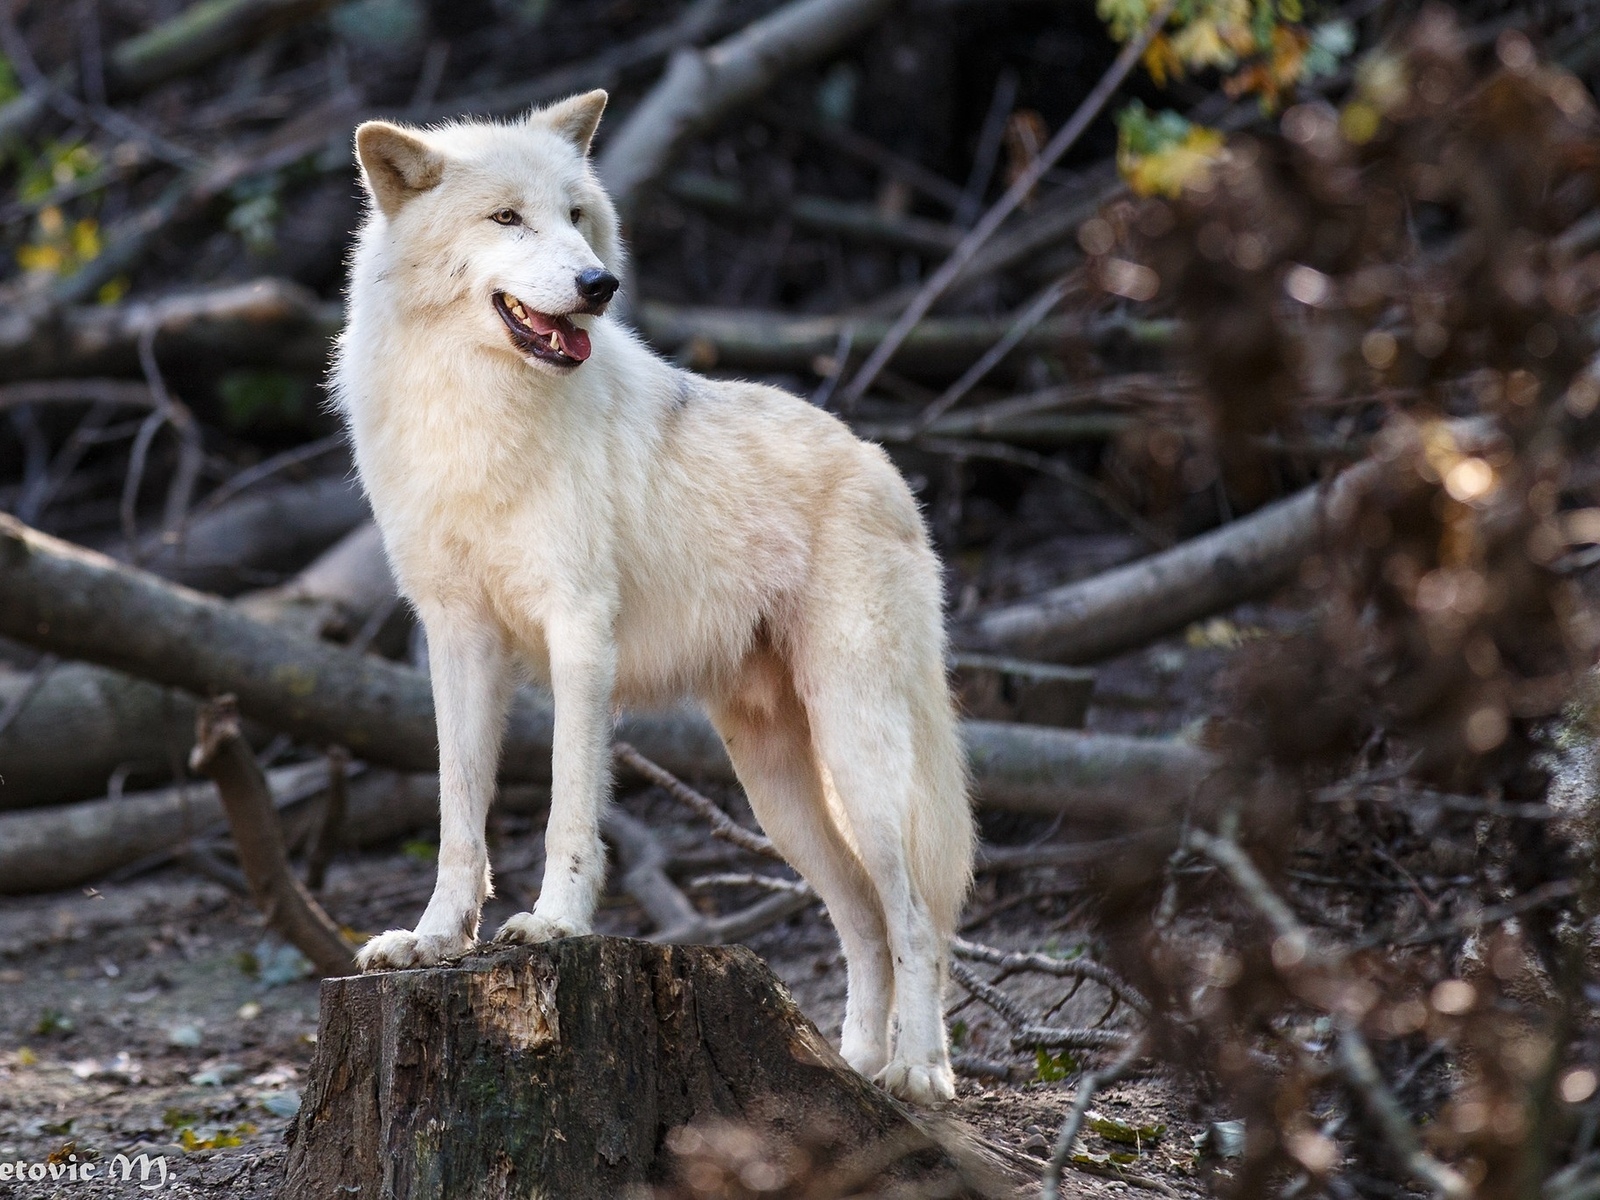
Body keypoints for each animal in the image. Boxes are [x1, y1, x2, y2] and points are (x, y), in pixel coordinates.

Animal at [334, 89, 975, 1104]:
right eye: (506, 218)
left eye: (576, 215)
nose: (598, 284)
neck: (478, 409)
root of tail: (883, 466)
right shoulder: (458, 639)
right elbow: (457, 817)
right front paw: (434, 941)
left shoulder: (578, 633)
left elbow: (567, 809)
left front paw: (555, 924)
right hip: (776, 791)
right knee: (864, 921)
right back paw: (856, 1066)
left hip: (860, 757)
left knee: (916, 917)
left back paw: (920, 1073)